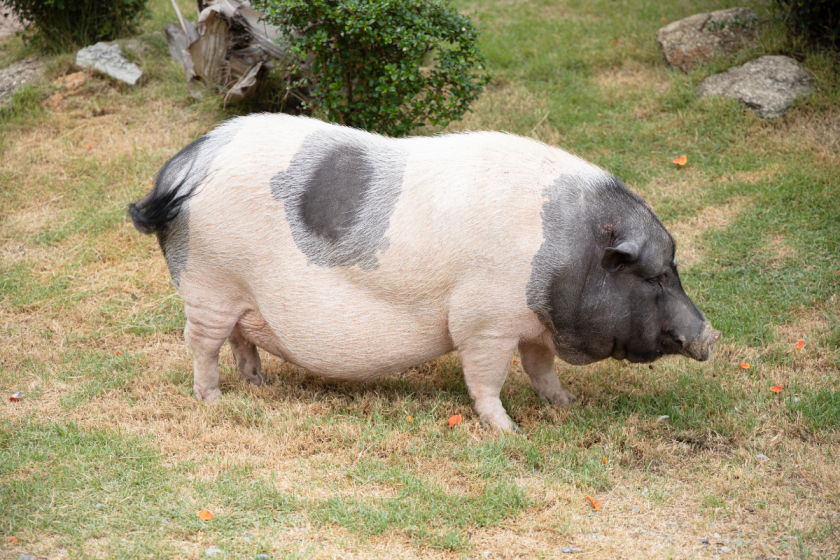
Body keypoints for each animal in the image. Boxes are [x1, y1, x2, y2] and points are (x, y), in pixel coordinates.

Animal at [128, 114, 720, 431]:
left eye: (671, 268)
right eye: (653, 276)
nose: (712, 335)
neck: (565, 250)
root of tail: (186, 167)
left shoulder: (531, 321)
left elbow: (541, 368)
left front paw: (566, 406)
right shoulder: (484, 320)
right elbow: (486, 378)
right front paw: (509, 431)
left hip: (237, 294)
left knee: (241, 339)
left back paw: (259, 381)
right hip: (209, 282)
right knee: (202, 344)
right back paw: (214, 400)